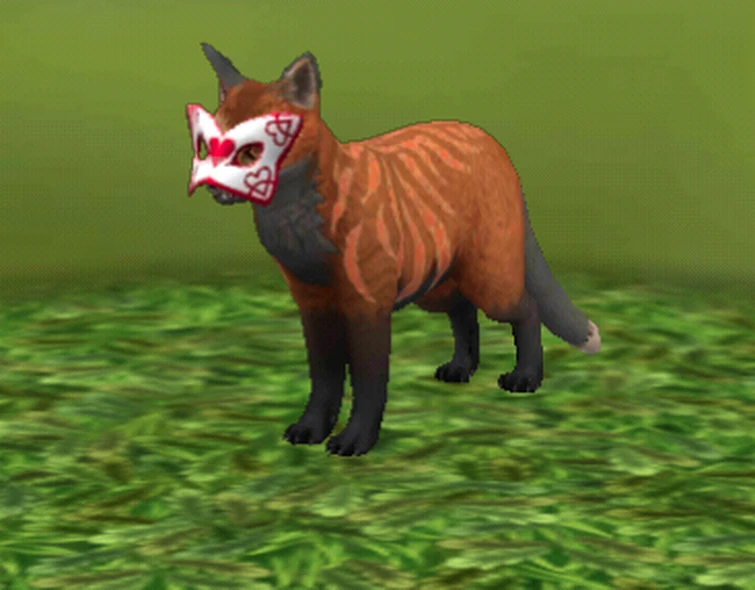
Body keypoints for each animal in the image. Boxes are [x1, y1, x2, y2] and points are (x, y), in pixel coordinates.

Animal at [186, 43, 601, 456]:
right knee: (464, 314)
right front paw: (311, 428)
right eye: (208, 145)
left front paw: (356, 440)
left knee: (527, 310)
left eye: (251, 150)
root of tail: (487, 139)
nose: (214, 186)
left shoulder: (367, 304)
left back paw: (527, 377)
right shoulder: (313, 303)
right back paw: (461, 368)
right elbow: (324, 380)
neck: (297, 228)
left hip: (490, 281)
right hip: (438, 285)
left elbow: (368, 382)